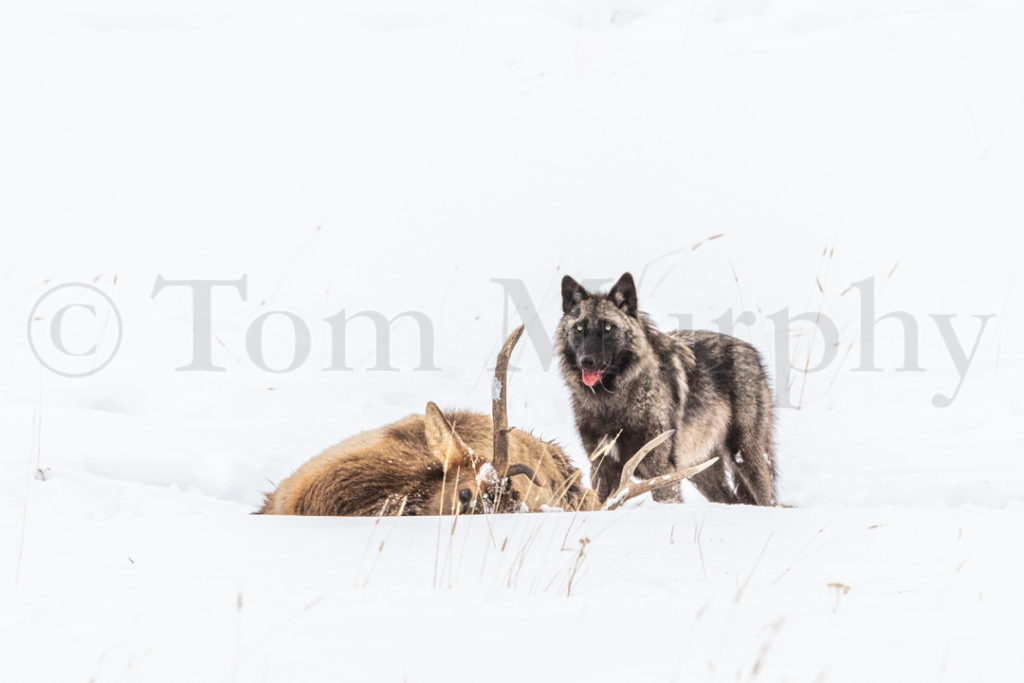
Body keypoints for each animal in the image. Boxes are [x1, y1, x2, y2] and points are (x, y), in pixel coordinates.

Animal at [557, 272, 776, 506]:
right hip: (701, 471)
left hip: (745, 454)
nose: (586, 361)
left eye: (608, 327)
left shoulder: (659, 467)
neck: (610, 402)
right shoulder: (602, 466)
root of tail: (750, 350)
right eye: (579, 328)